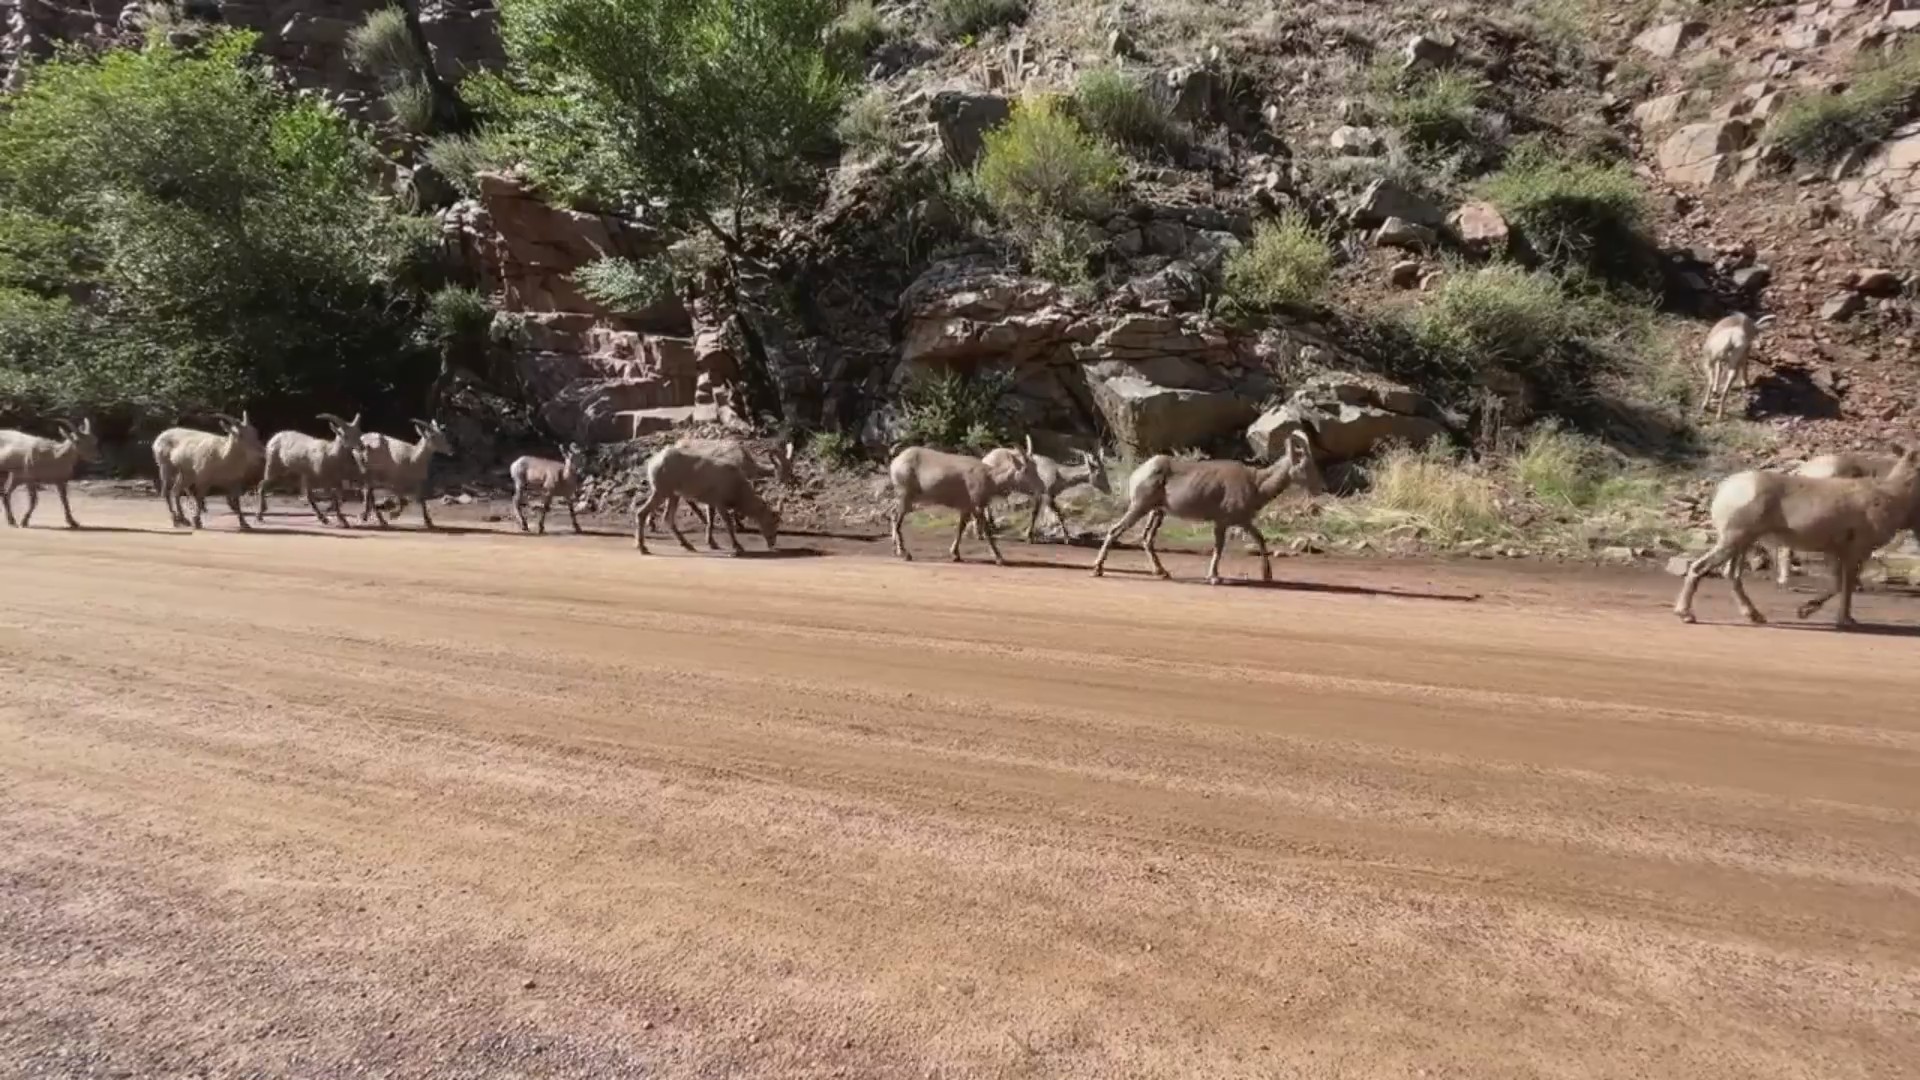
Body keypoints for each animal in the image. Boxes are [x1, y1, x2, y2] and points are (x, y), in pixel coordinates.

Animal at [1091, 431, 1323, 585]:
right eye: (1305, 465)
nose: (1320, 488)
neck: (1256, 484)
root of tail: (1138, 473)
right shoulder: (1222, 522)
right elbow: (1218, 548)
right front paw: (1214, 577)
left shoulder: (1242, 521)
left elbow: (1260, 540)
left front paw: (1267, 576)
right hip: (1140, 508)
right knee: (1115, 531)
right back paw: (1097, 570)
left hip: (1156, 512)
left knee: (1146, 539)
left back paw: (1163, 573)